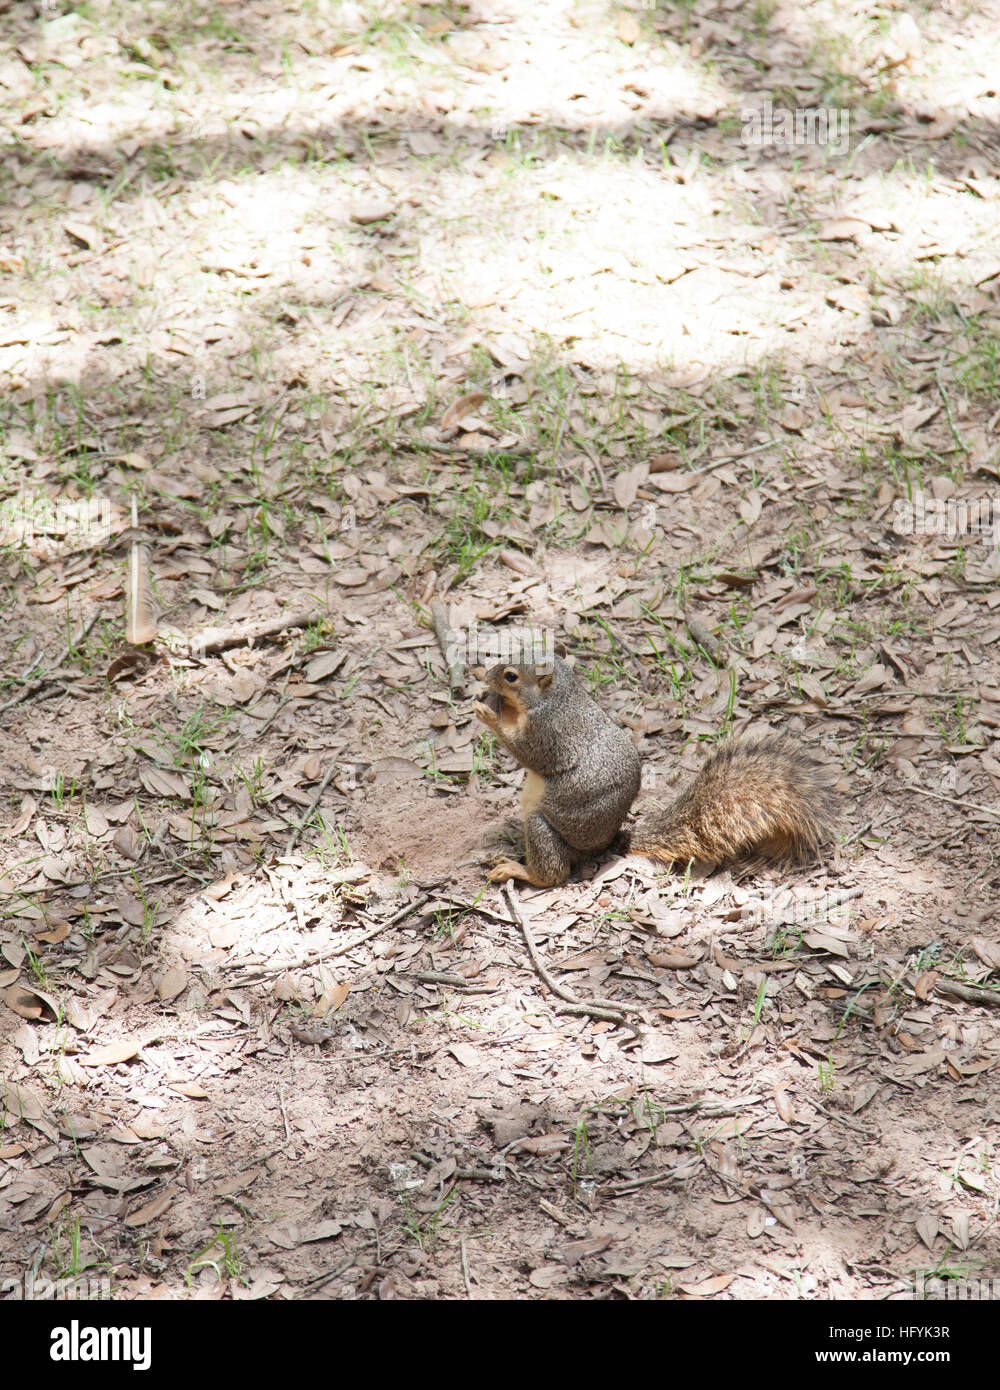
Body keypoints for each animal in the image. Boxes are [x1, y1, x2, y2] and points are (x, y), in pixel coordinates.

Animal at [472, 656, 837, 888]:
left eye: (510, 676)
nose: (485, 675)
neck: (555, 698)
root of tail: (602, 846)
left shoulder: (548, 732)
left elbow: (527, 753)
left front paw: (488, 714)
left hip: (544, 828)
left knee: (552, 873)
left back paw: (517, 870)